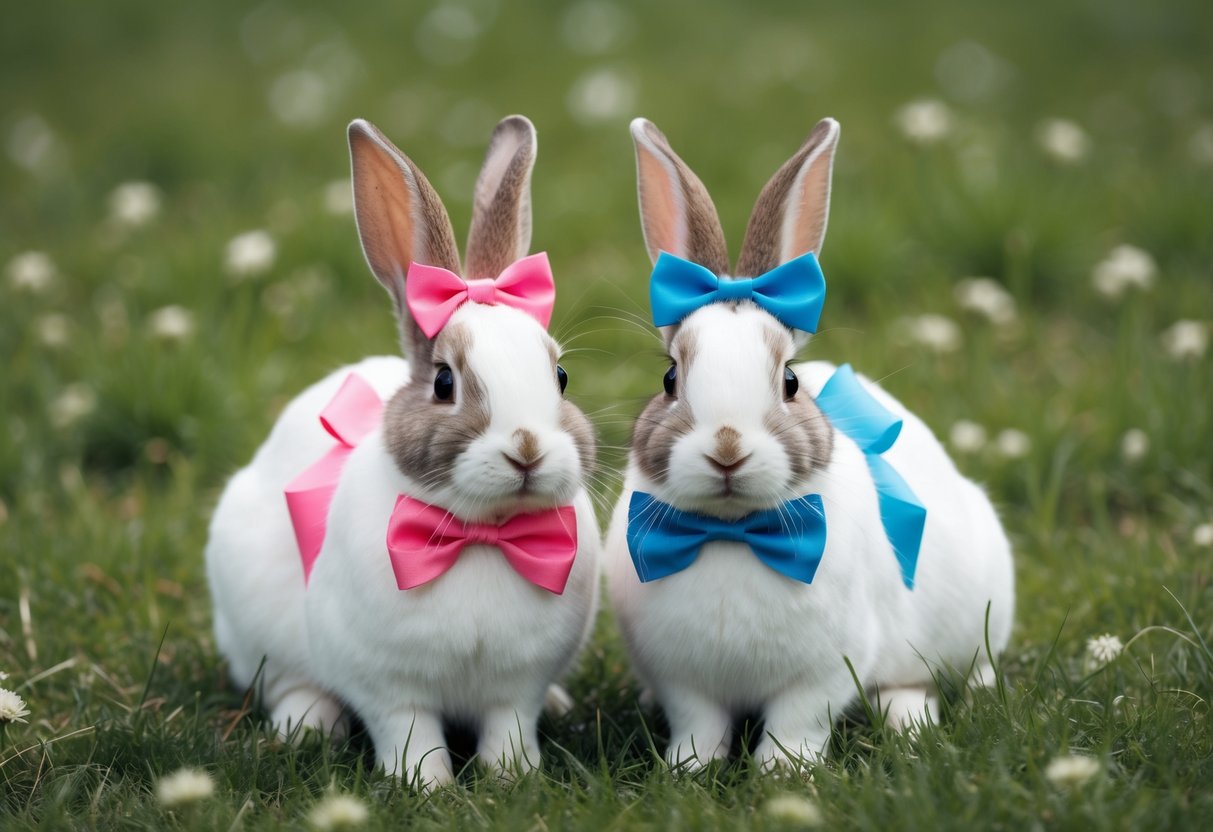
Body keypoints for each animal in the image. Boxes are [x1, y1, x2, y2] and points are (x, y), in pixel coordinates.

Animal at [205, 115, 600, 788]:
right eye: (444, 382)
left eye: (561, 377)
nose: (526, 450)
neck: (480, 535)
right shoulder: (389, 687)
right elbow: (408, 732)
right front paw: (427, 785)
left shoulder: (514, 688)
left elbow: (510, 726)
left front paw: (513, 778)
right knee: (286, 680)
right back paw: (306, 724)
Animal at [603, 117, 1015, 769]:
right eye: (669, 379)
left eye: (790, 383)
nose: (727, 449)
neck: (734, 532)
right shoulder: (682, 683)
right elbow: (698, 725)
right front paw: (688, 769)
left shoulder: (823, 674)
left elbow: (797, 726)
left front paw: (785, 775)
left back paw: (913, 721)